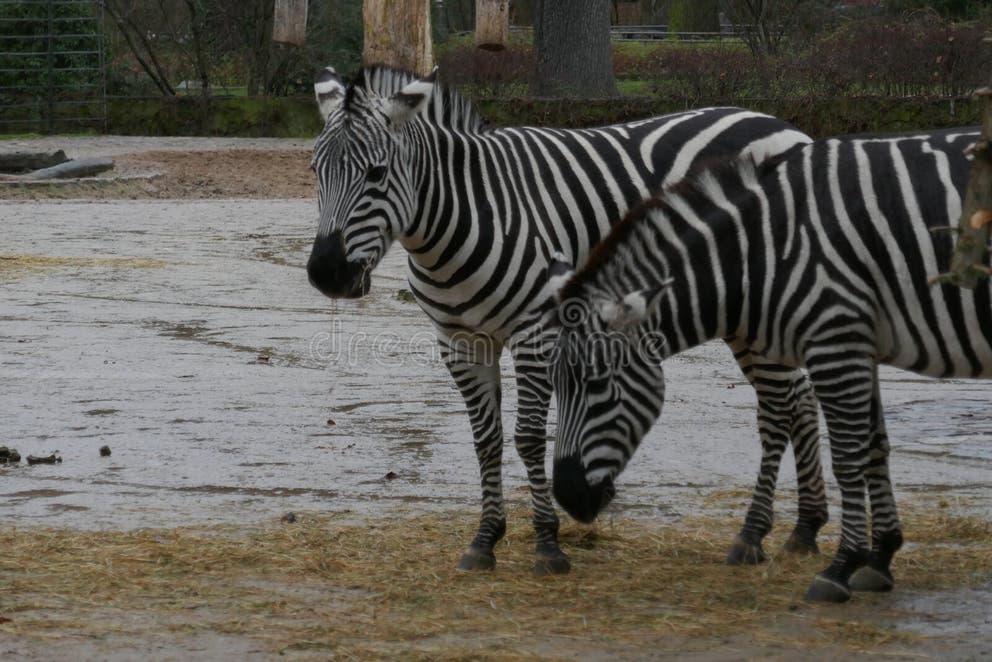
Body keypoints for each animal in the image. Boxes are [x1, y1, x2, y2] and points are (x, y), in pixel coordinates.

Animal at [305, 64, 828, 573]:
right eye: (314, 170)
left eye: (377, 173)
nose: (325, 272)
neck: (464, 219)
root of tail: (780, 125)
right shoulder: (460, 341)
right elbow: (487, 440)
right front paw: (485, 541)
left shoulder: (536, 333)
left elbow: (529, 438)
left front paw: (547, 545)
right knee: (798, 399)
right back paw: (805, 530)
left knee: (781, 404)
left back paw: (761, 536)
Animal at [548, 127, 988, 601]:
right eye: (557, 384)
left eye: (597, 383)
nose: (567, 496)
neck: (766, 247)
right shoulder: (860, 343)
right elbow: (875, 447)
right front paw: (881, 557)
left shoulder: (836, 338)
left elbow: (848, 457)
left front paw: (840, 568)